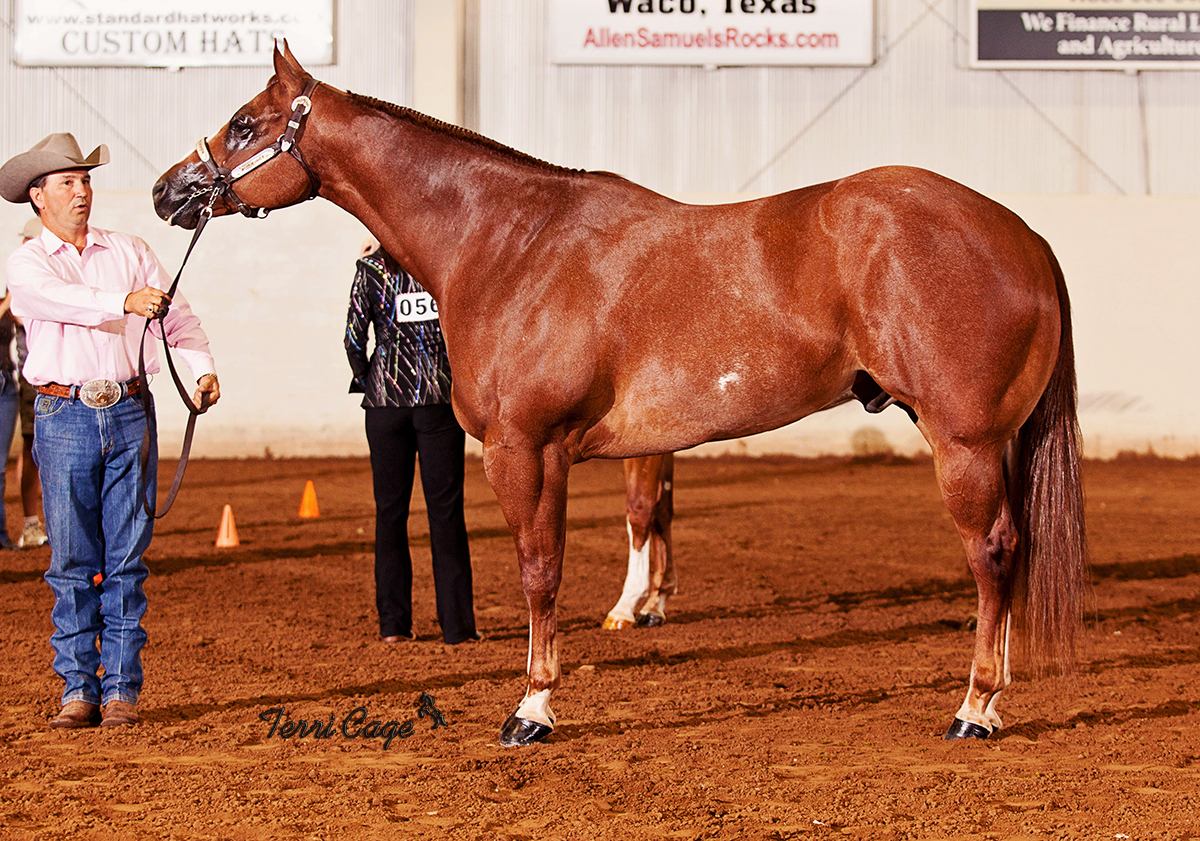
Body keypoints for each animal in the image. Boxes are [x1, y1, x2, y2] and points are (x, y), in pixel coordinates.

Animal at [153, 43, 1089, 747]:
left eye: (245, 124)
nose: (169, 190)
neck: (510, 242)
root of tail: (1023, 233)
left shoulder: (526, 448)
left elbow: (540, 572)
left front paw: (532, 707)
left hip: (964, 442)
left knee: (993, 553)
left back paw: (975, 707)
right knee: (1011, 554)